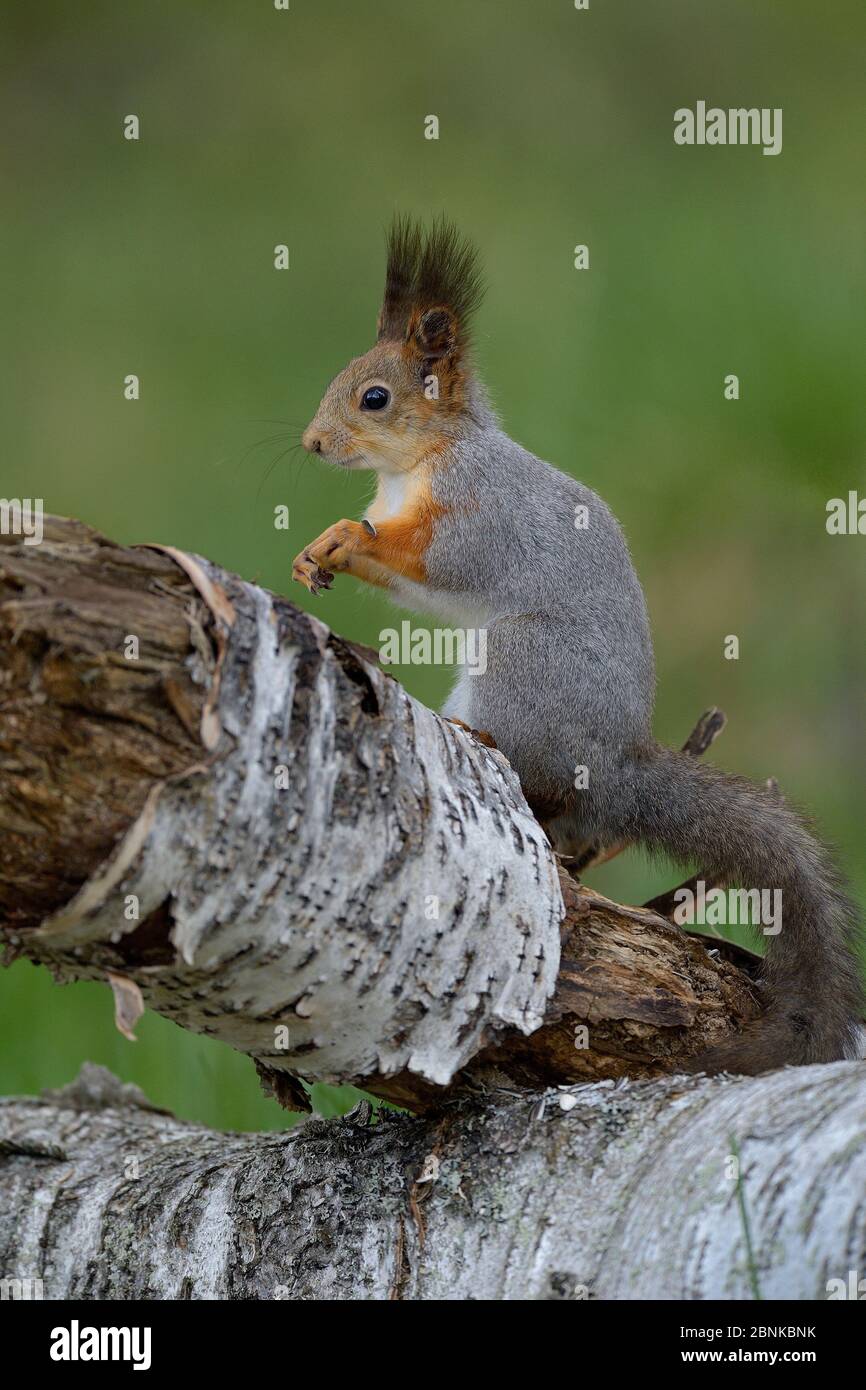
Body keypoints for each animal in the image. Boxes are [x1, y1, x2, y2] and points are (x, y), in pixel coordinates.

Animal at [292, 215, 862, 1075]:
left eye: (375, 397)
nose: (312, 442)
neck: (417, 464)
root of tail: (618, 767)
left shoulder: (478, 511)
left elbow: (441, 562)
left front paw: (344, 537)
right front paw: (315, 554)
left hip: (520, 666)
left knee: (536, 772)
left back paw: (479, 736)